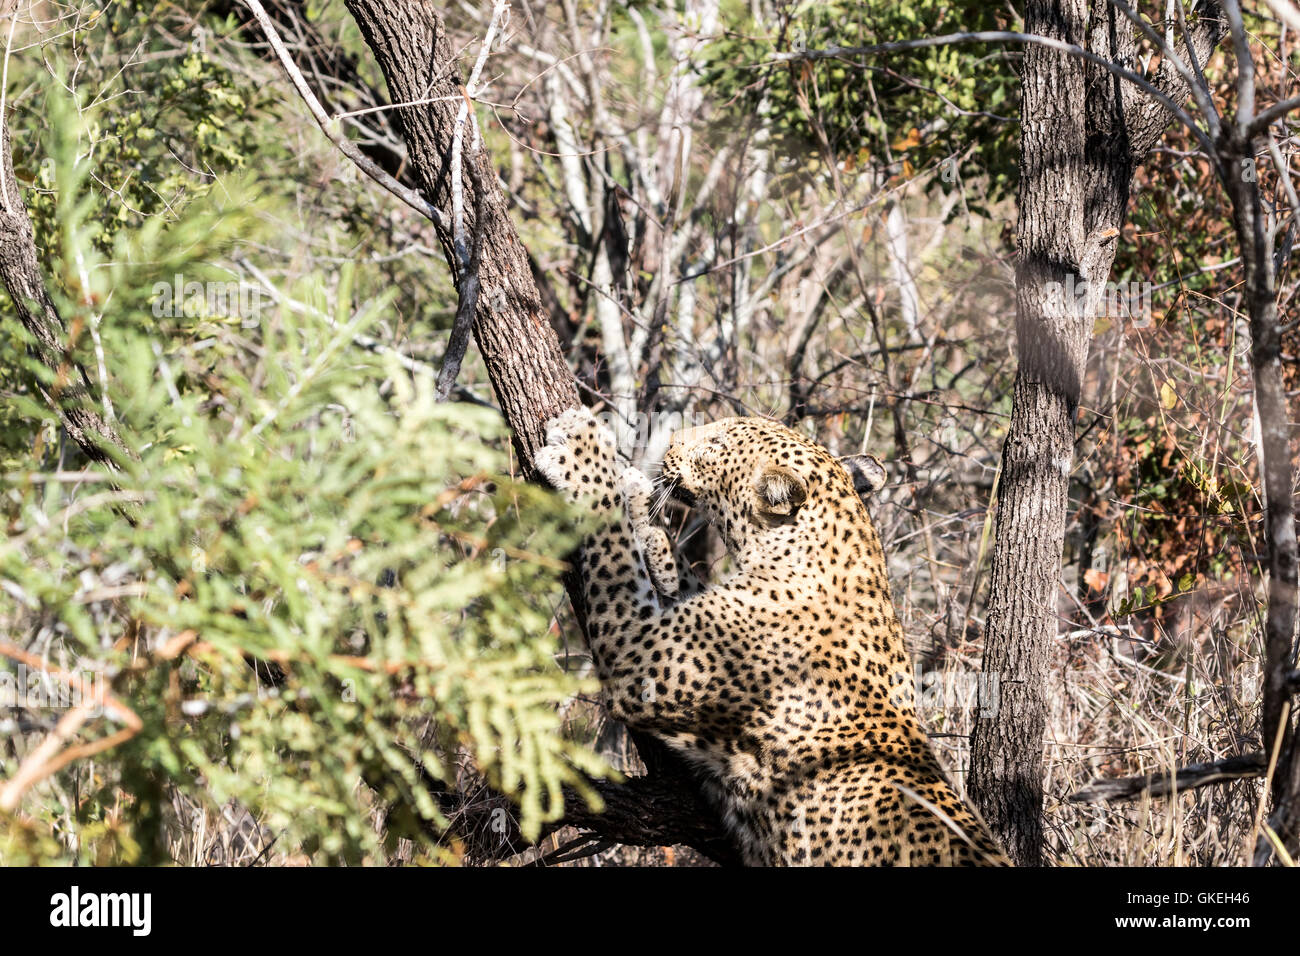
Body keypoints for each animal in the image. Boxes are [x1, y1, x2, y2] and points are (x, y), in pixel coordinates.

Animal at [535, 407, 1009, 866]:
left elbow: (613, 545)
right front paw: (638, 501)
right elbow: (675, 572)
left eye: (716, 443)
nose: (670, 441)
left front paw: (581, 449)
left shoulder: (641, 660)